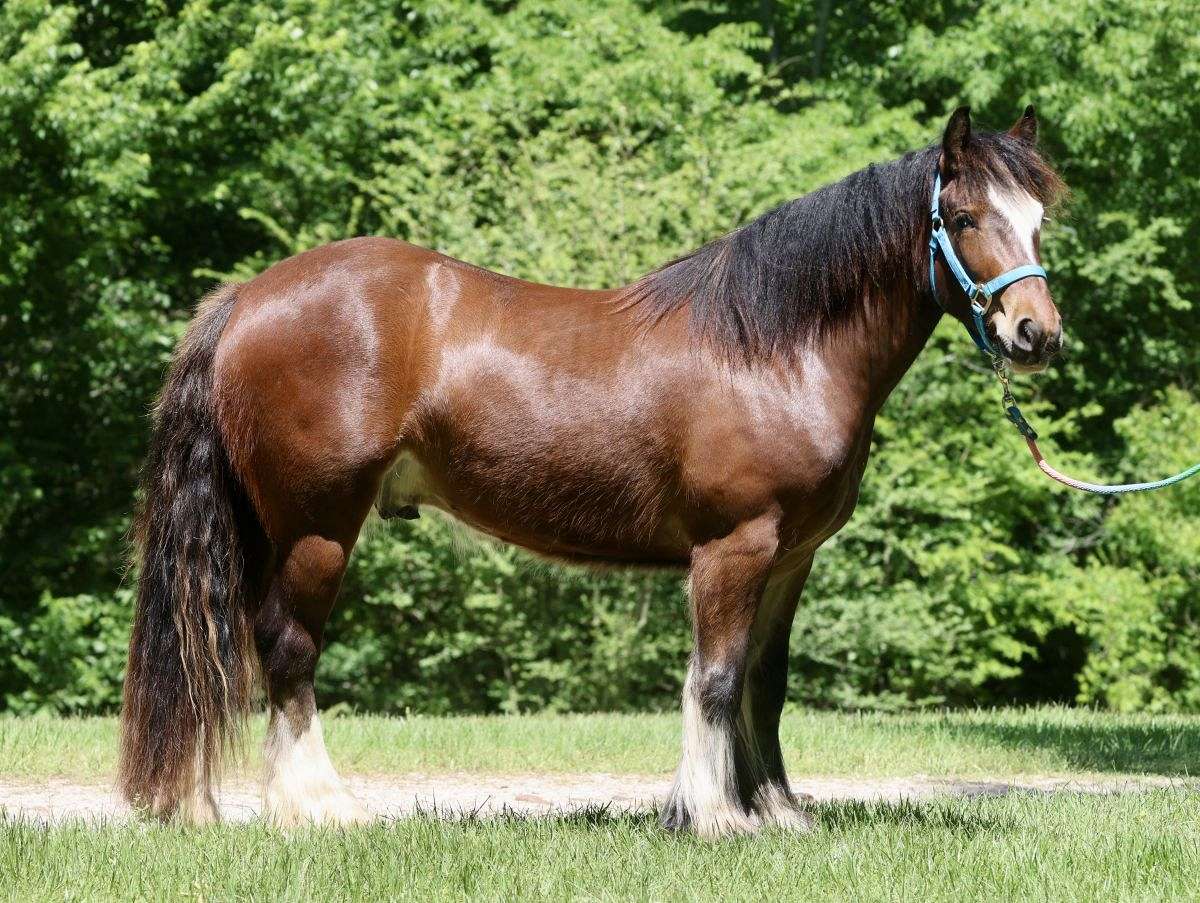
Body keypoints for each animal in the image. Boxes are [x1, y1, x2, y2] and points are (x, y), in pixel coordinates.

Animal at [119, 105, 1065, 836]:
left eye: (1037, 220)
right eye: (966, 217)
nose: (1036, 333)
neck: (775, 349)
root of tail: (246, 296)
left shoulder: (791, 557)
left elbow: (763, 683)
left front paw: (777, 812)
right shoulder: (734, 547)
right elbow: (714, 679)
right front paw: (710, 817)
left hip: (264, 529)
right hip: (316, 528)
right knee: (288, 650)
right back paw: (320, 806)